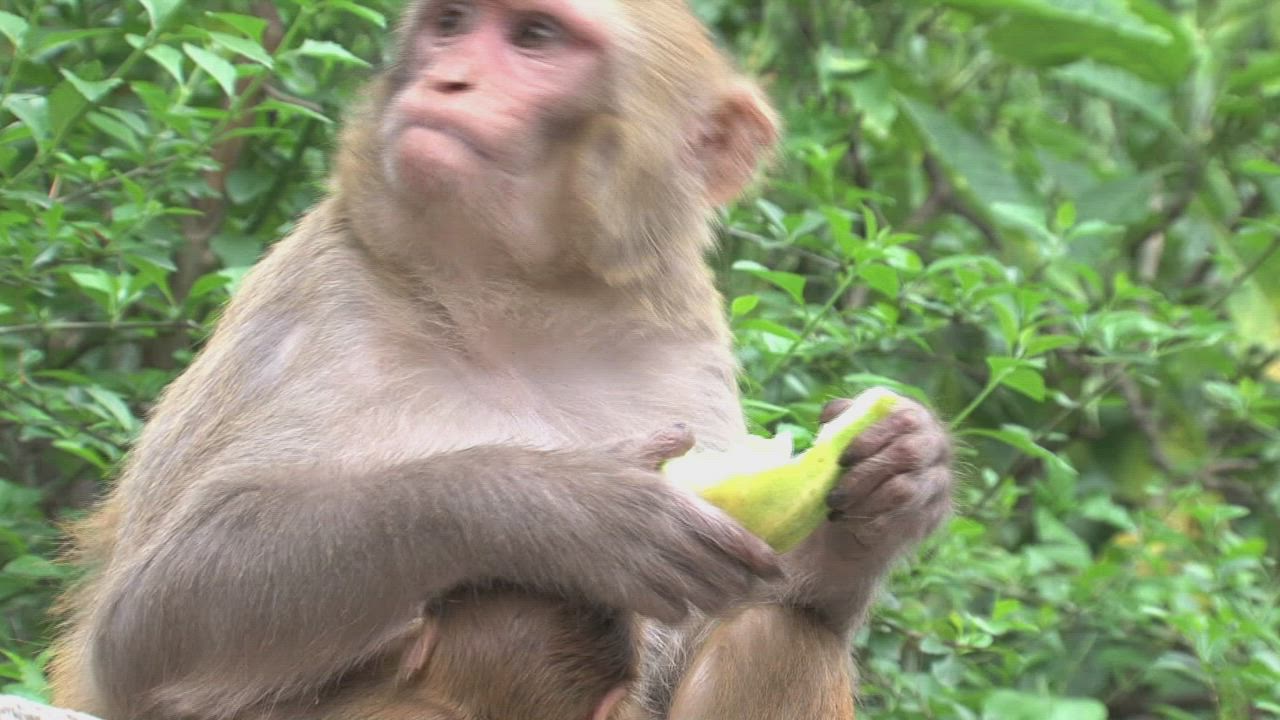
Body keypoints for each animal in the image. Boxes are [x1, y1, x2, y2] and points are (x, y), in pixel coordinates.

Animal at [48, 1, 954, 719]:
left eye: (535, 37)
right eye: (452, 23)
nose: (448, 79)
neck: (520, 309)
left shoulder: (683, 344)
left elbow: (749, 601)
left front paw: (897, 480)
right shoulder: (310, 303)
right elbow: (145, 627)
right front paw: (560, 503)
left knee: (779, 635)